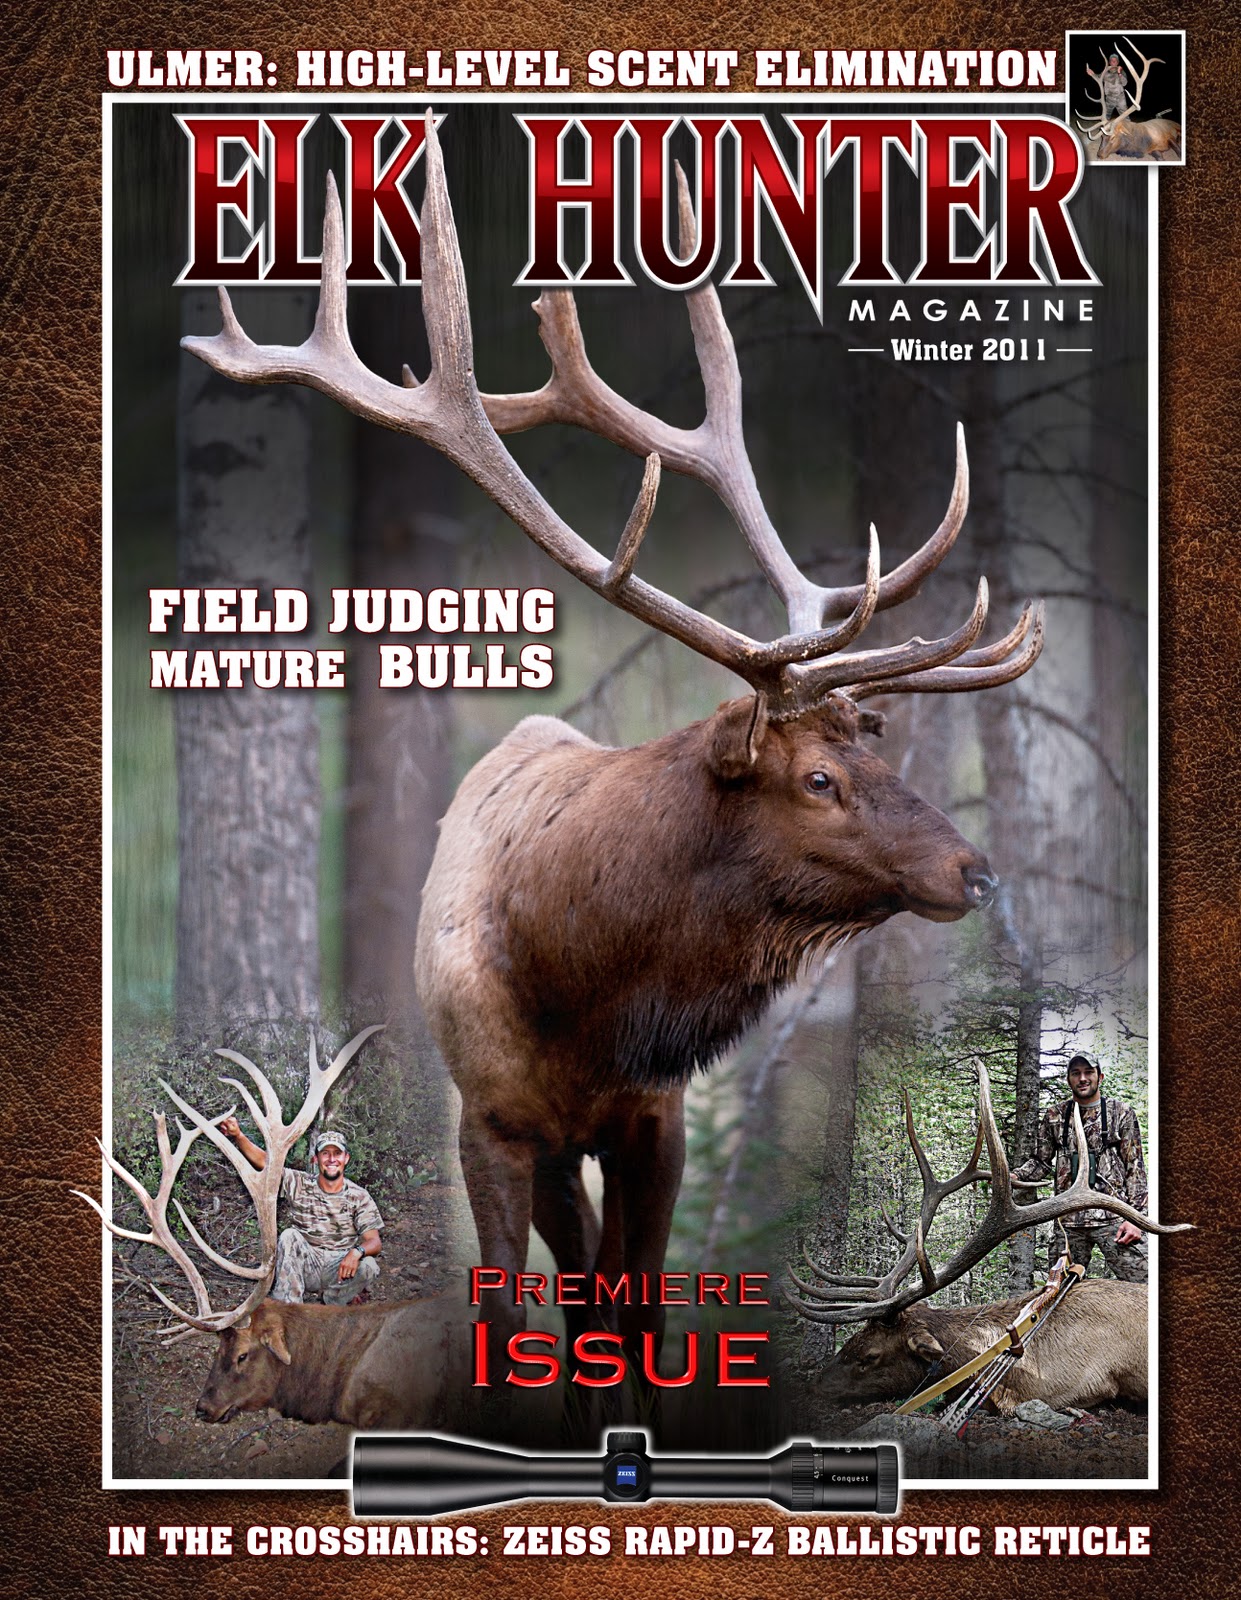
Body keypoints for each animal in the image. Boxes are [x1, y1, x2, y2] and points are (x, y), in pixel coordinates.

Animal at [181, 114, 1049, 1391]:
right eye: (817, 777)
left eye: (875, 757)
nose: (975, 873)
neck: (583, 984)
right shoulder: (493, 1123)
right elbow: (512, 1315)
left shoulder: (656, 1118)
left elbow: (635, 1313)